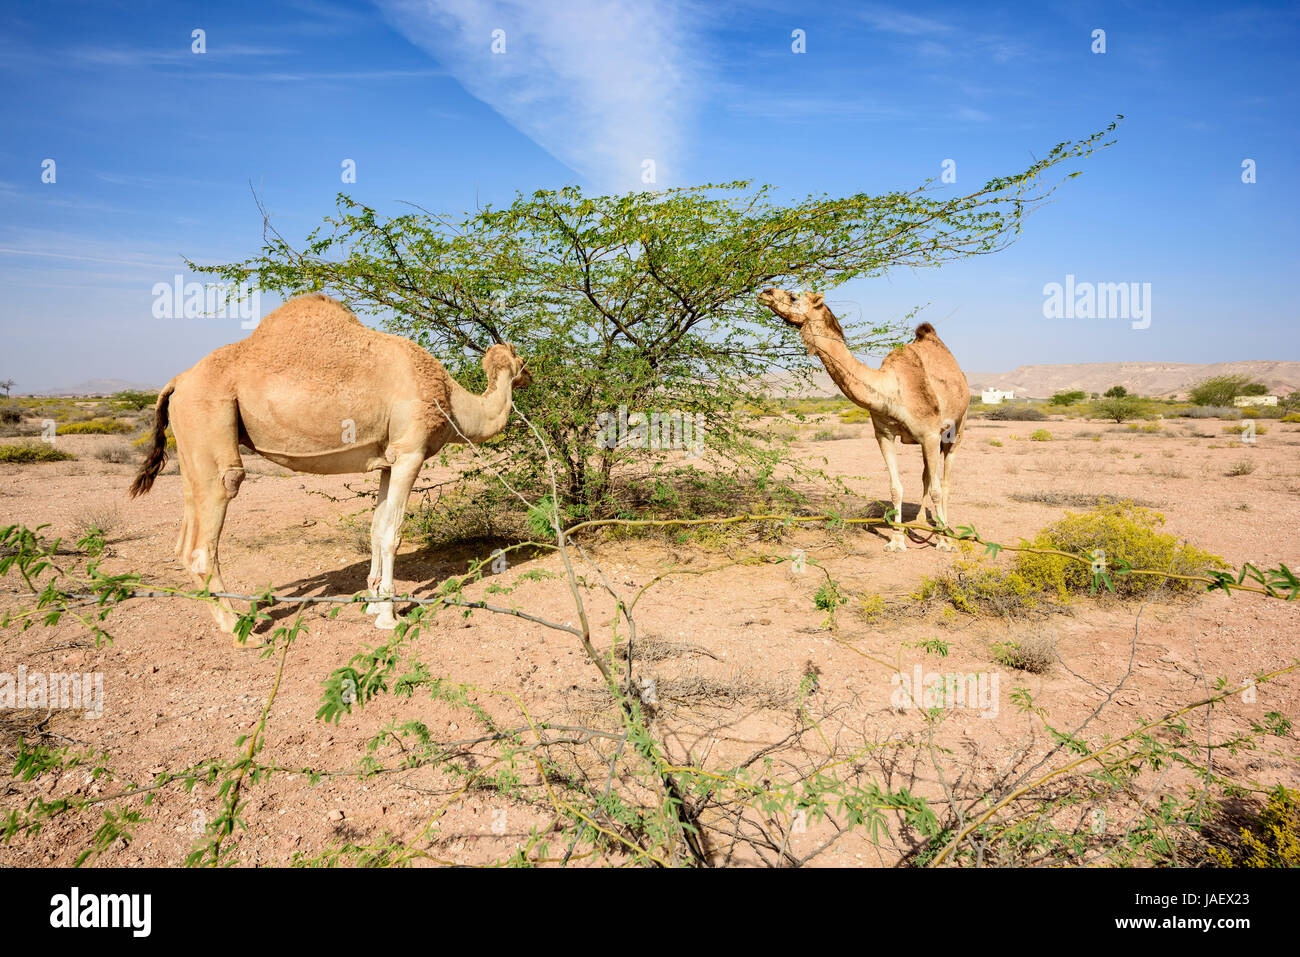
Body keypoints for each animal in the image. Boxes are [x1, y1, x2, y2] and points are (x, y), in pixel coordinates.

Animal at [129, 293, 531, 639]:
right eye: (522, 361)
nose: (531, 375)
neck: (451, 400)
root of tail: (178, 381)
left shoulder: (387, 460)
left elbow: (375, 528)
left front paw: (372, 603)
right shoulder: (410, 452)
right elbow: (393, 534)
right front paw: (389, 616)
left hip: (191, 444)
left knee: (186, 527)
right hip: (208, 412)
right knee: (216, 506)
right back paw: (239, 631)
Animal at [758, 289, 969, 552]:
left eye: (794, 296)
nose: (765, 293)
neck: (892, 389)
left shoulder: (930, 434)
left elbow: (937, 490)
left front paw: (943, 542)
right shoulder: (885, 434)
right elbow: (896, 488)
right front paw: (896, 540)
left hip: (956, 429)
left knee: (946, 482)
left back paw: (945, 529)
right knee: (926, 476)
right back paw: (920, 522)